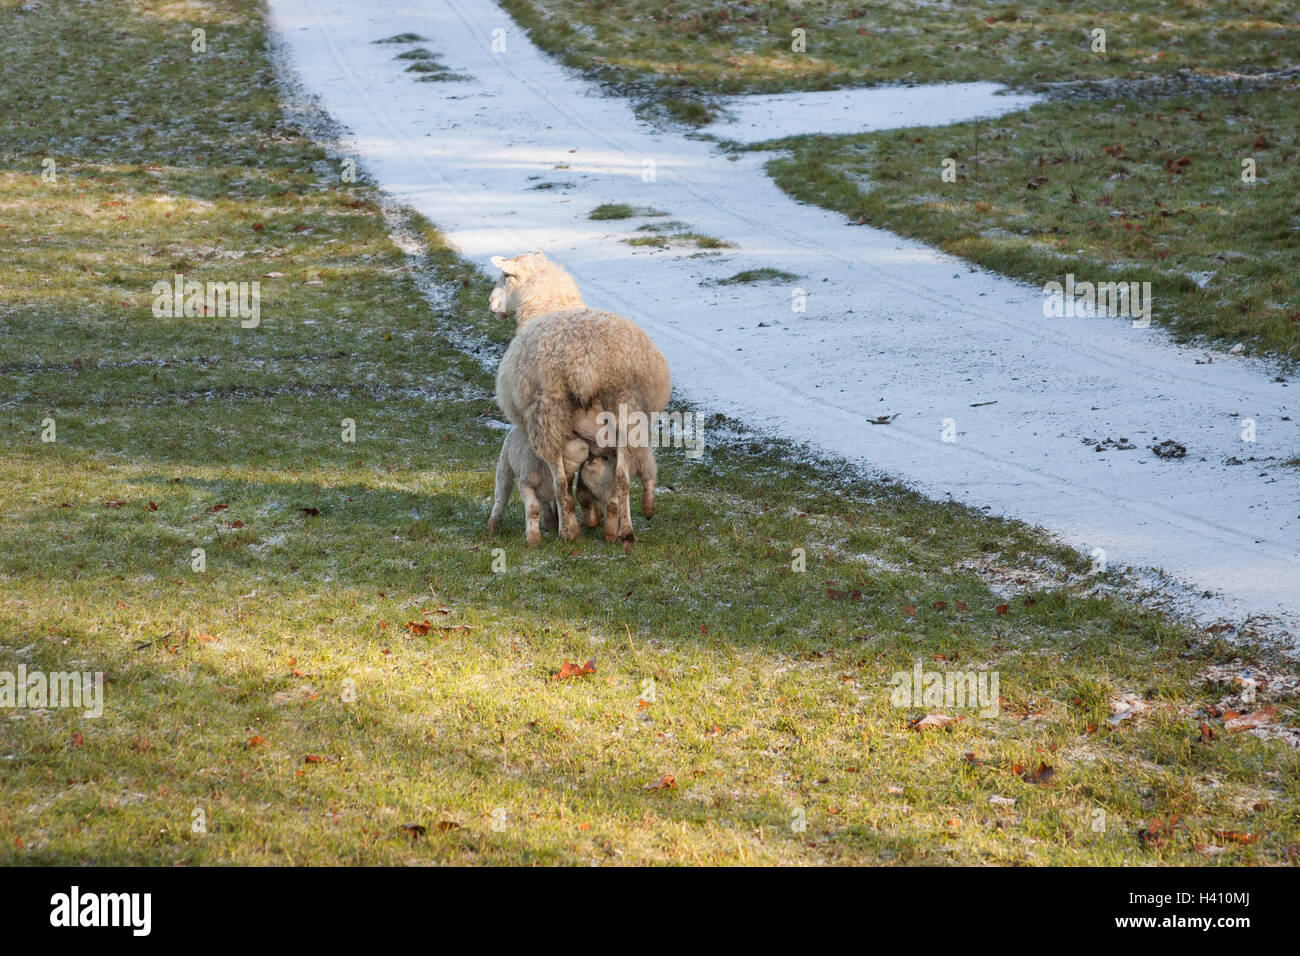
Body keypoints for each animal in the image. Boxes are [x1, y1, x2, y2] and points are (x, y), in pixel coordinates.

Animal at [490, 251, 670, 546]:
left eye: (506, 276)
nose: (491, 304)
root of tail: (586, 362)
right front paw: (595, 517)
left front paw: (564, 520)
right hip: (626, 413)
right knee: (622, 478)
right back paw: (625, 531)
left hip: (549, 417)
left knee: (560, 482)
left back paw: (568, 531)